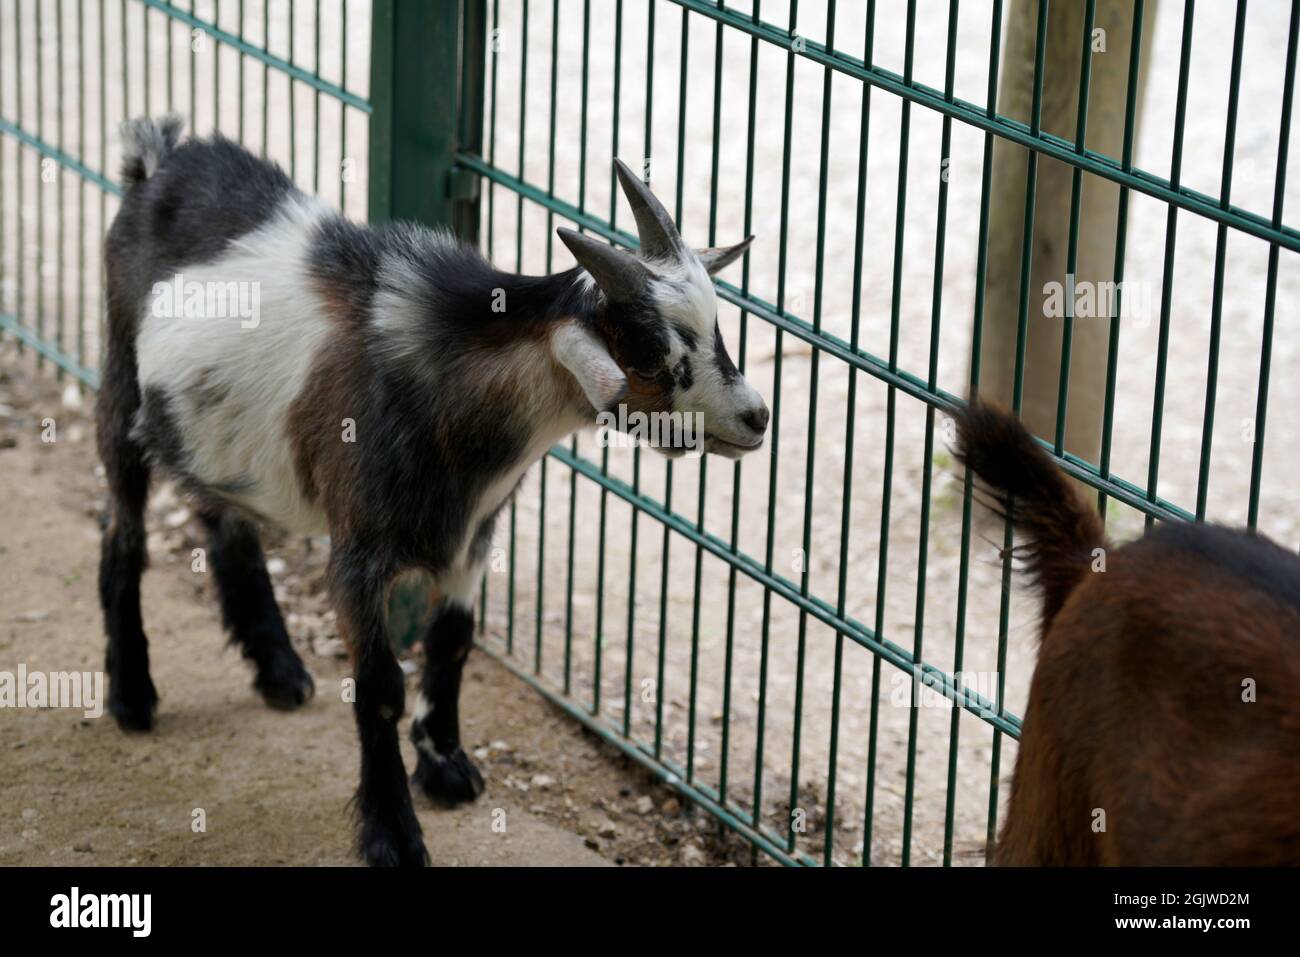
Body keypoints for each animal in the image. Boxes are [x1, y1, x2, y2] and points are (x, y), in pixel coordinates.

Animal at [97, 115, 769, 866]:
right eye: (654, 350)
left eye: (716, 327)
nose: (756, 417)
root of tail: (156, 161)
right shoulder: (355, 554)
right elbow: (381, 687)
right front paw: (392, 831)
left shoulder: (475, 535)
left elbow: (452, 641)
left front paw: (446, 764)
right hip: (120, 385)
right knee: (123, 531)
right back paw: (131, 695)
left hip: (212, 438)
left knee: (226, 525)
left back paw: (278, 670)